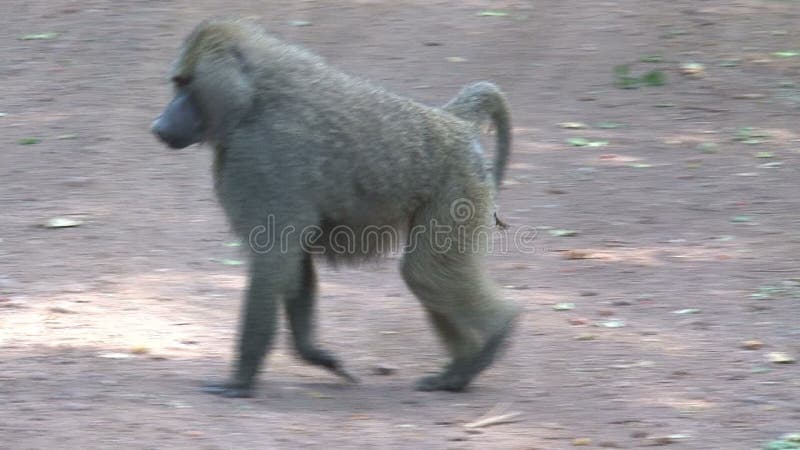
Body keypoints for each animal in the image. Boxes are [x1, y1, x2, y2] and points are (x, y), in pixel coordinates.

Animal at [151, 18, 519, 398]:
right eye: (177, 83)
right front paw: (315, 354)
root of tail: (452, 122)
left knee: (425, 273)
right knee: (428, 273)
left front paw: (240, 381)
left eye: (187, 84)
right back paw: (458, 371)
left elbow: (272, 259)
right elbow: (294, 262)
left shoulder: (260, 156)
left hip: (458, 187)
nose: (159, 126)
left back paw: (494, 337)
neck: (253, 96)